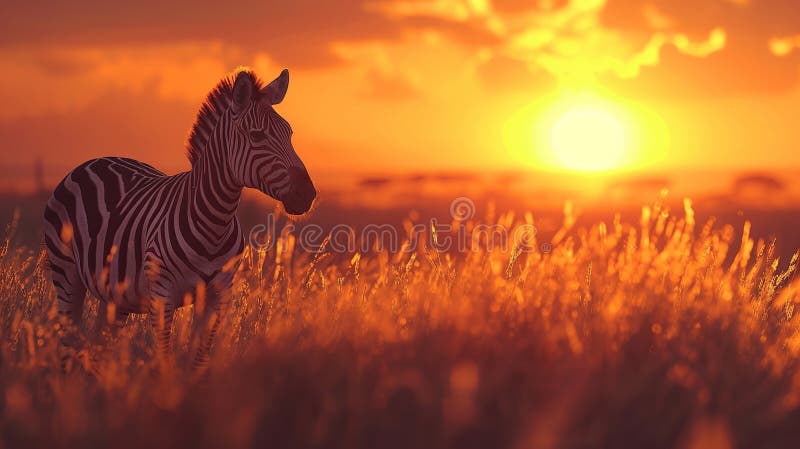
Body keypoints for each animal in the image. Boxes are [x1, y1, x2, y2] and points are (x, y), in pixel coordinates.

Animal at [43, 67, 316, 371]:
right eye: (256, 136)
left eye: (289, 134)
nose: (308, 194)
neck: (214, 222)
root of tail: (95, 160)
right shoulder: (162, 294)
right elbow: (166, 359)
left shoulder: (218, 294)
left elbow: (197, 361)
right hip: (66, 275)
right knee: (68, 343)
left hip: (114, 292)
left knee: (99, 344)